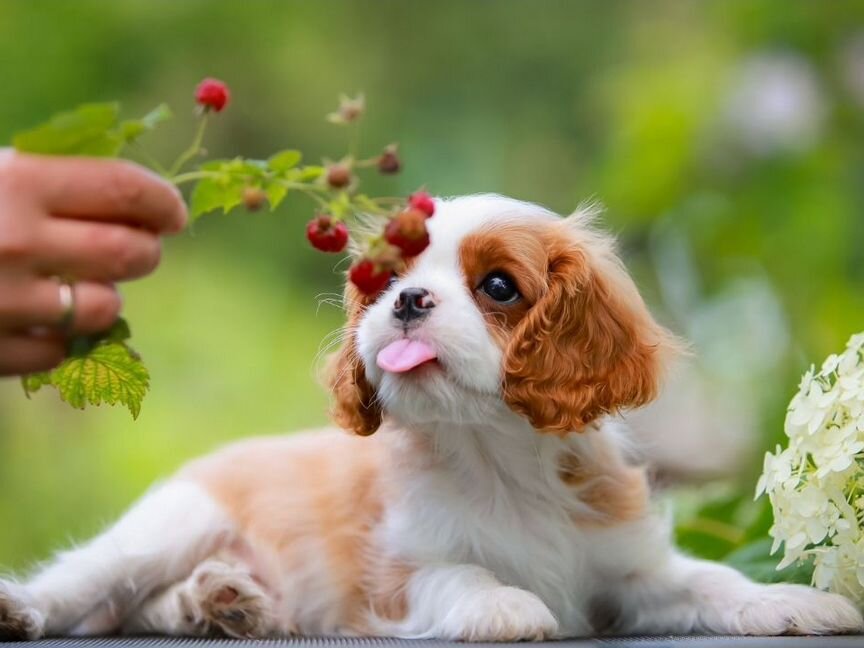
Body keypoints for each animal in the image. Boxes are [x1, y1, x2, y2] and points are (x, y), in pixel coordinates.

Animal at [1, 195, 864, 640]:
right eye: (385, 278)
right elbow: (458, 574)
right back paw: (37, 607)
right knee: (91, 580)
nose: (408, 299)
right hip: (177, 521)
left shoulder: (632, 575)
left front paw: (789, 602)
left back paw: (220, 602)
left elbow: (708, 579)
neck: (494, 453)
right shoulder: (393, 577)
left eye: (499, 287)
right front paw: (503, 603)